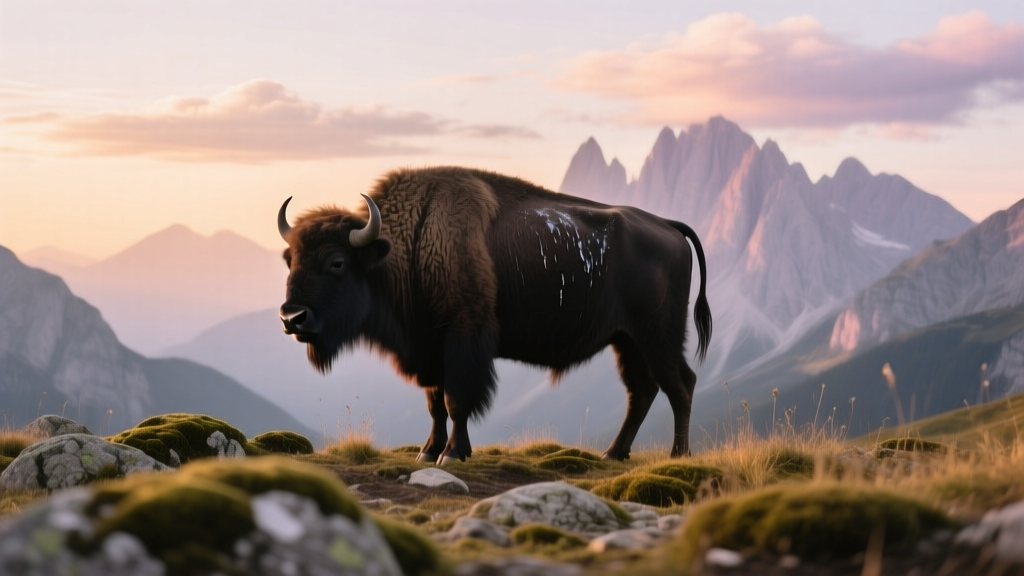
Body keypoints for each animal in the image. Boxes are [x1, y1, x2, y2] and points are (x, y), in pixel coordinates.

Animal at [278, 167, 711, 464]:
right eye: (290, 259)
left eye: (336, 263)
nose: (291, 317)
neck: (412, 243)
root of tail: (667, 226)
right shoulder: (431, 347)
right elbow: (435, 404)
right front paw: (428, 451)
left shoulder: (461, 339)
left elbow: (456, 401)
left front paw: (452, 453)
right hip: (627, 341)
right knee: (643, 391)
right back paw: (613, 454)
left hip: (658, 336)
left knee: (680, 385)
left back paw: (677, 456)